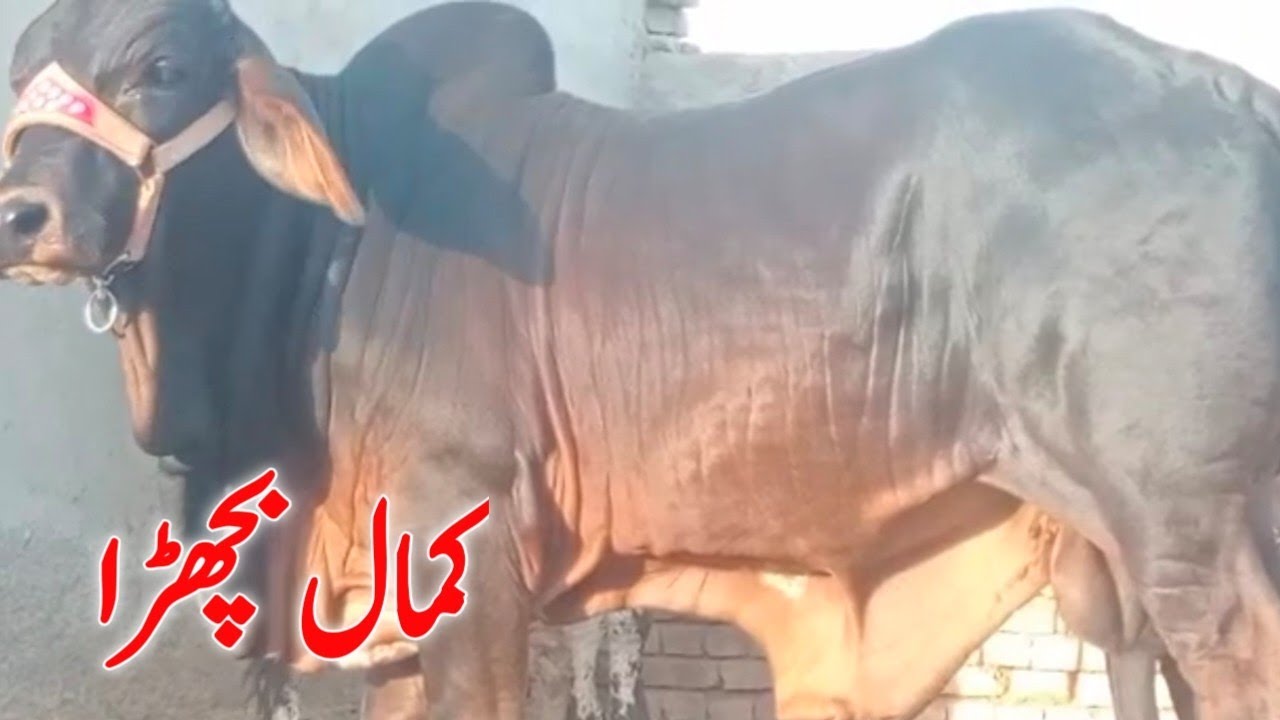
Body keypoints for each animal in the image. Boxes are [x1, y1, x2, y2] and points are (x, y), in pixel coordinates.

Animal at [4, 1, 1280, 719]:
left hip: (1197, 540)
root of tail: (1230, 92)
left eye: (161, 68)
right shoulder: (387, 616)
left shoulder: (471, 552)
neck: (322, 252)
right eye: (22, 72)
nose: (22, 214)